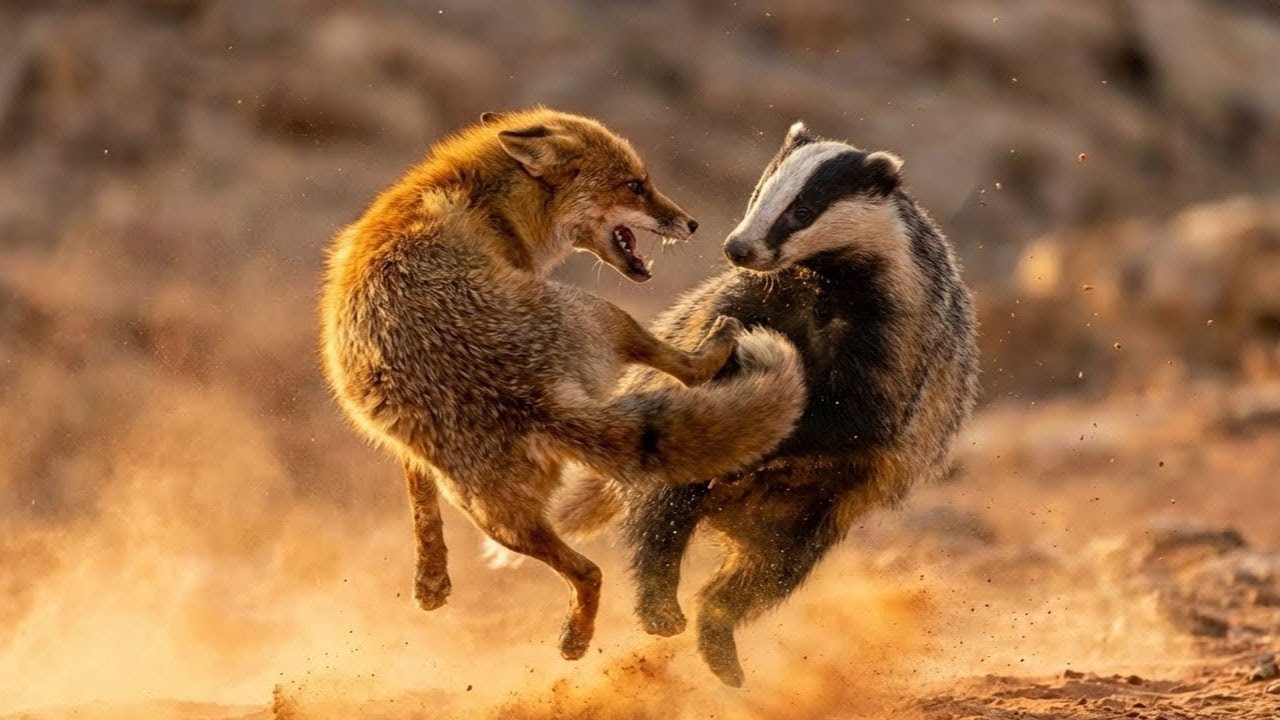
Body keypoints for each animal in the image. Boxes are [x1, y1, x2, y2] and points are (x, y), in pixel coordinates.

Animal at [318, 108, 806, 661]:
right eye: (636, 185)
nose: (693, 223)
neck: (482, 203)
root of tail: (529, 393)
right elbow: (417, 493)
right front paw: (431, 577)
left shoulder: (404, 434)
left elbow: (417, 495)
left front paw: (430, 580)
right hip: (599, 314)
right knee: (684, 376)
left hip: (488, 507)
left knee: (583, 569)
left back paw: (574, 637)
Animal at [553, 122, 980, 685]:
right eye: (759, 193)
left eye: (801, 210)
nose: (738, 247)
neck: (821, 282)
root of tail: (729, 515)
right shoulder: (754, 299)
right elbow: (713, 354)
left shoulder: (896, 329)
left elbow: (860, 416)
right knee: (665, 513)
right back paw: (661, 603)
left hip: (816, 508)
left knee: (768, 571)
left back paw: (717, 640)